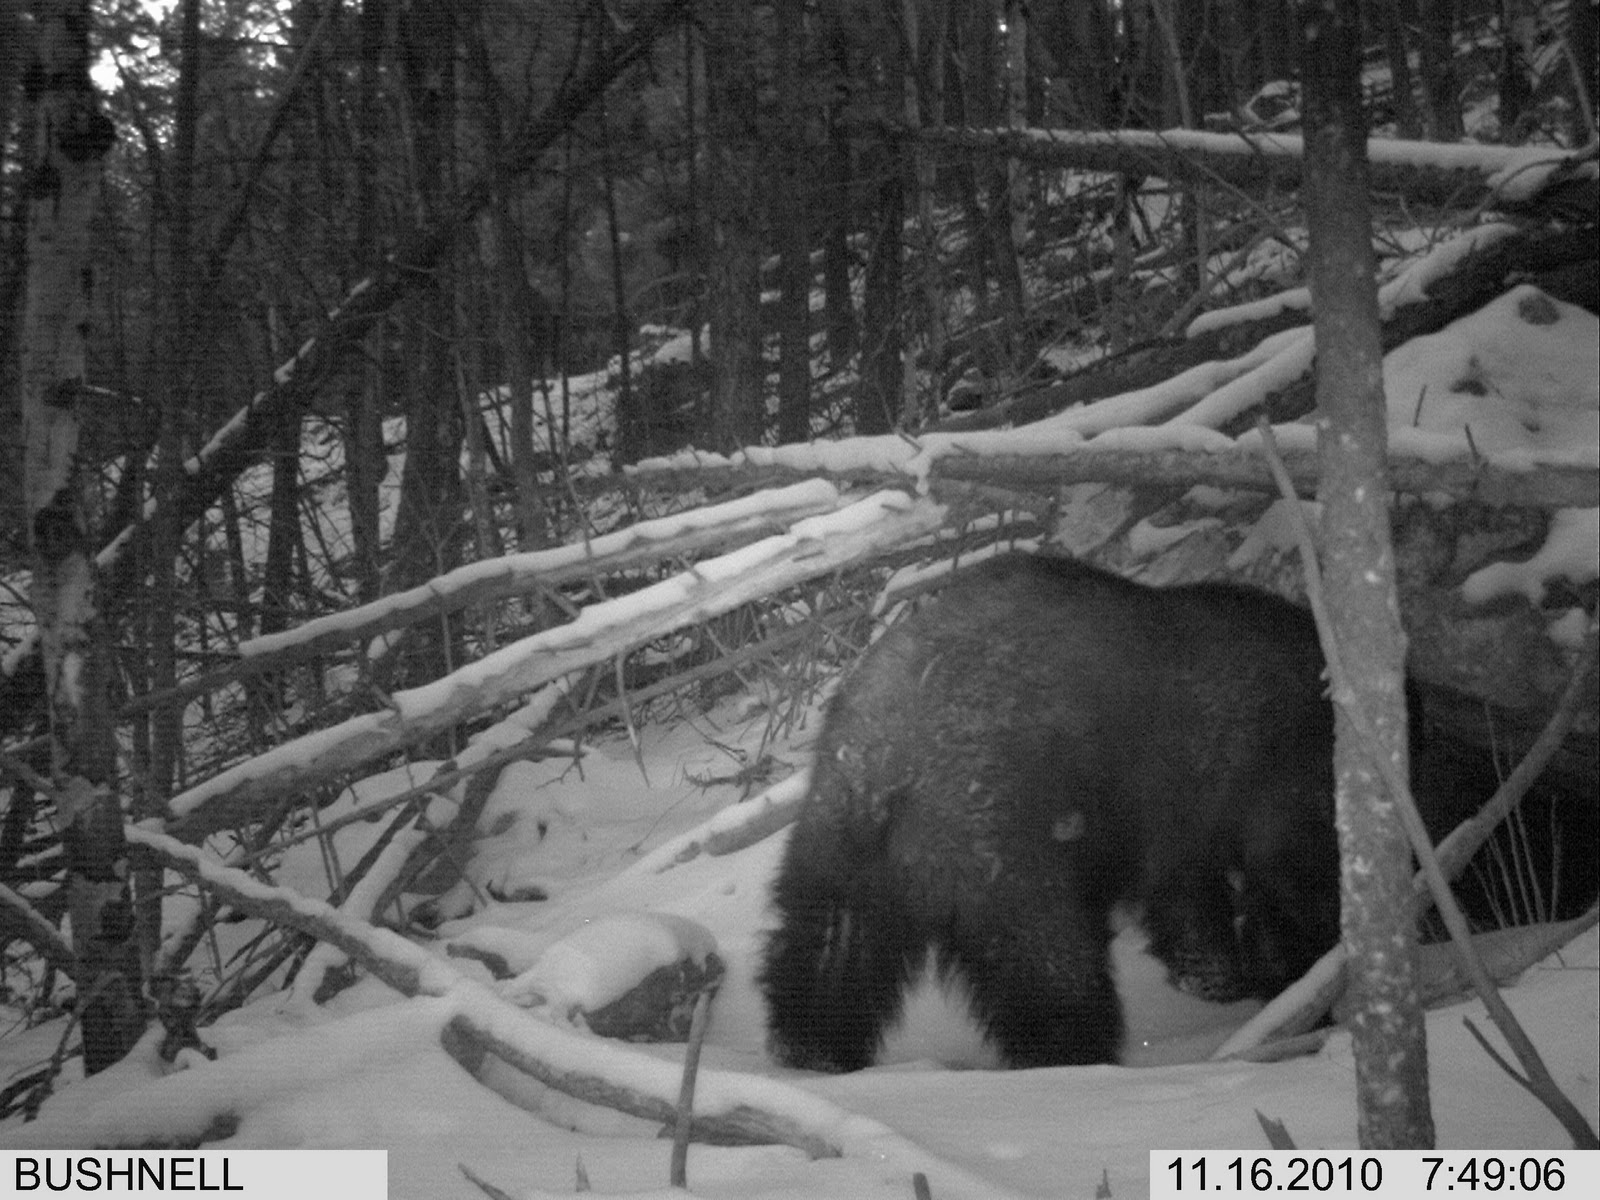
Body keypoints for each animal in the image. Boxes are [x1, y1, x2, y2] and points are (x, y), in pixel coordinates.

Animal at [760, 553, 1342, 1071]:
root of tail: (887, 757)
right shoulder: (1217, 790)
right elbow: (1215, 894)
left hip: (837, 844)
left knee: (828, 951)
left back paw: (813, 1048)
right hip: (1001, 843)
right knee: (1051, 964)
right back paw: (1076, 1054)